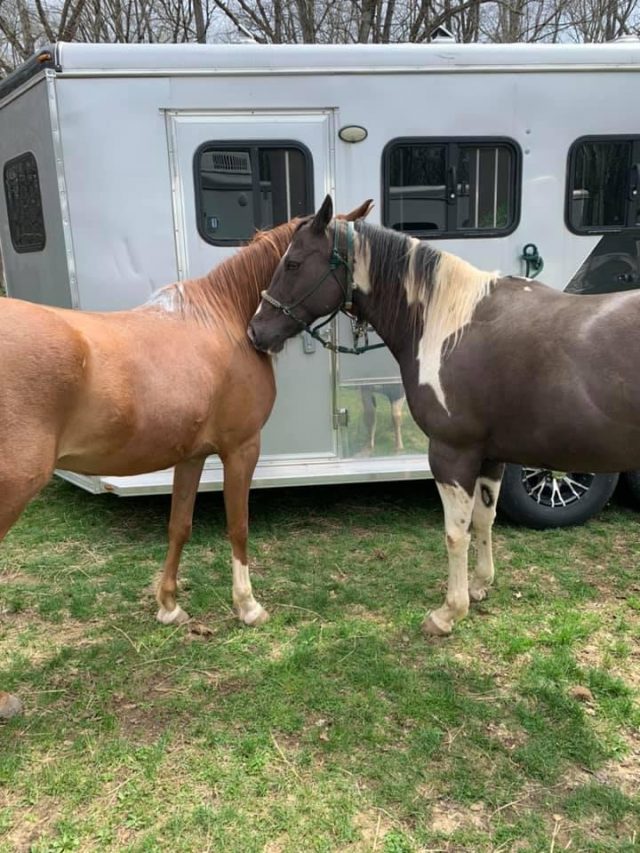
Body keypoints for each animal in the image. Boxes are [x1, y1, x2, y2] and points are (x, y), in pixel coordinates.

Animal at [0, 199, 373, 716]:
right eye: (290, 262)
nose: (260, 332)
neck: (223, 320)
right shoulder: (241, 449)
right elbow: (238, 526)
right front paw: (248, 607)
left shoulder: (192, 456)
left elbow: (180, 526)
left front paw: (169, 607)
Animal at [249, 194, 640, 637]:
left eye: (293, 263)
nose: (256, 331)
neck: (451, 325)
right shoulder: (490, 456)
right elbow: (483, 521)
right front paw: (480, 586)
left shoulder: (452, 454)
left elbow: (456, 534)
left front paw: (449, 612)